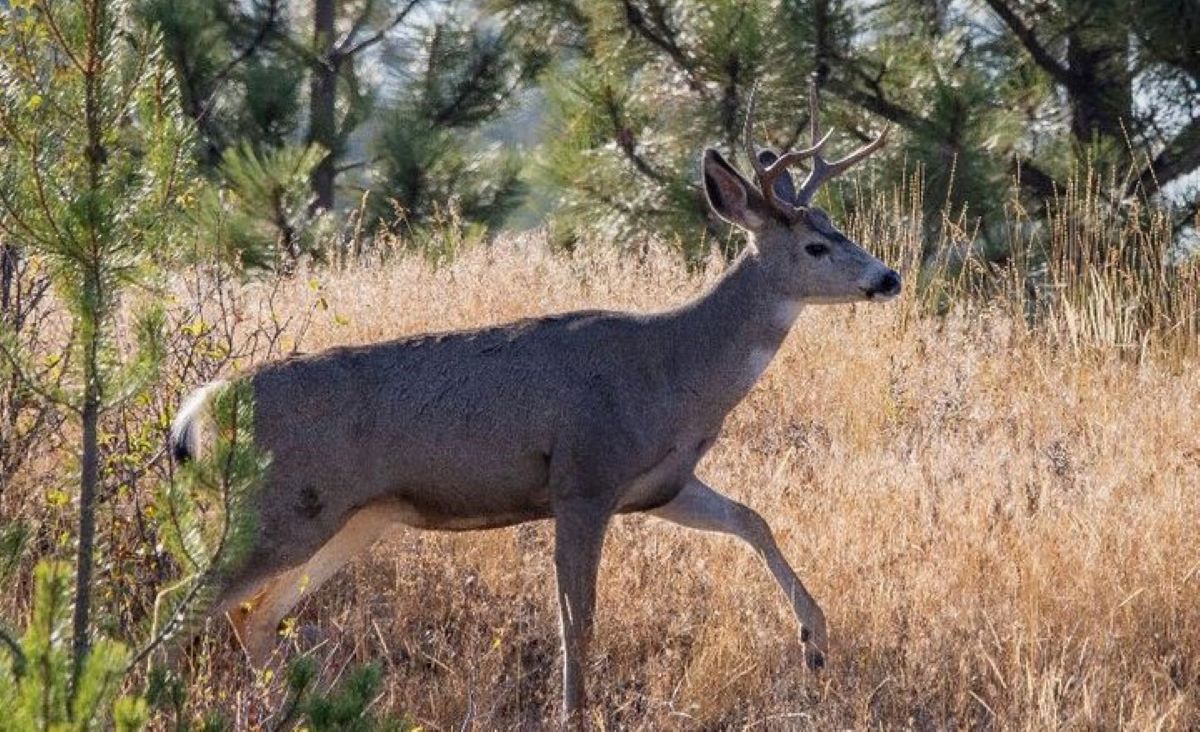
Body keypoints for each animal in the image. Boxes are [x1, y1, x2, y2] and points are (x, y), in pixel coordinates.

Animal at [170, 82, 897, 720]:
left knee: (252, 615)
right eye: (816, 245)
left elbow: (753, 519)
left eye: (837, 228)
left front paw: (815, 642)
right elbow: (578, 619)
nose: (887, 277)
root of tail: (198, 411)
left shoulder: (657, 484)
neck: (672, 370)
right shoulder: (583, 476)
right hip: (277, 507)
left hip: (352, 518)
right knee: (183, 605)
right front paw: (576, 712)